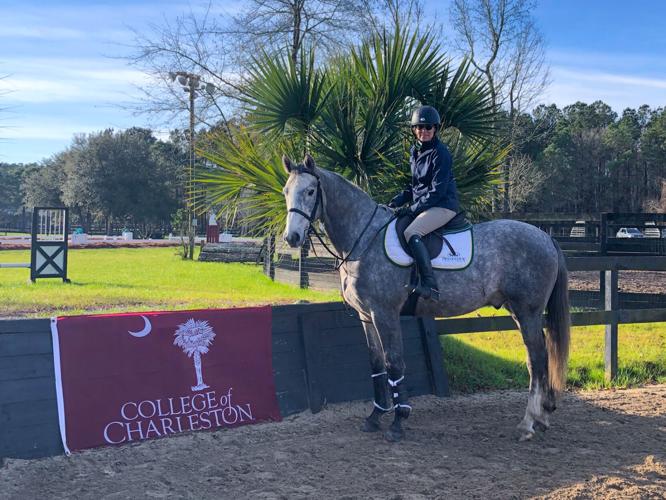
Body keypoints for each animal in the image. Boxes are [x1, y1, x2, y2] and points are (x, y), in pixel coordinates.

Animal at [281, 154, 570, 442]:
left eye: (310, 191)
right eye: (285, 191)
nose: (292, 238)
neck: (364, 238)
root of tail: (545, 237)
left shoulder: (384, 313)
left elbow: (394, 363)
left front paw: (398, 421)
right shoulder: (366, 316)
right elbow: (376, 364)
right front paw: (374, 417)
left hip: (528, 311)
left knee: (537, 359)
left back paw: (528, 424)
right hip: (519, 312)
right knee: (539, 358)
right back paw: (541, 418)